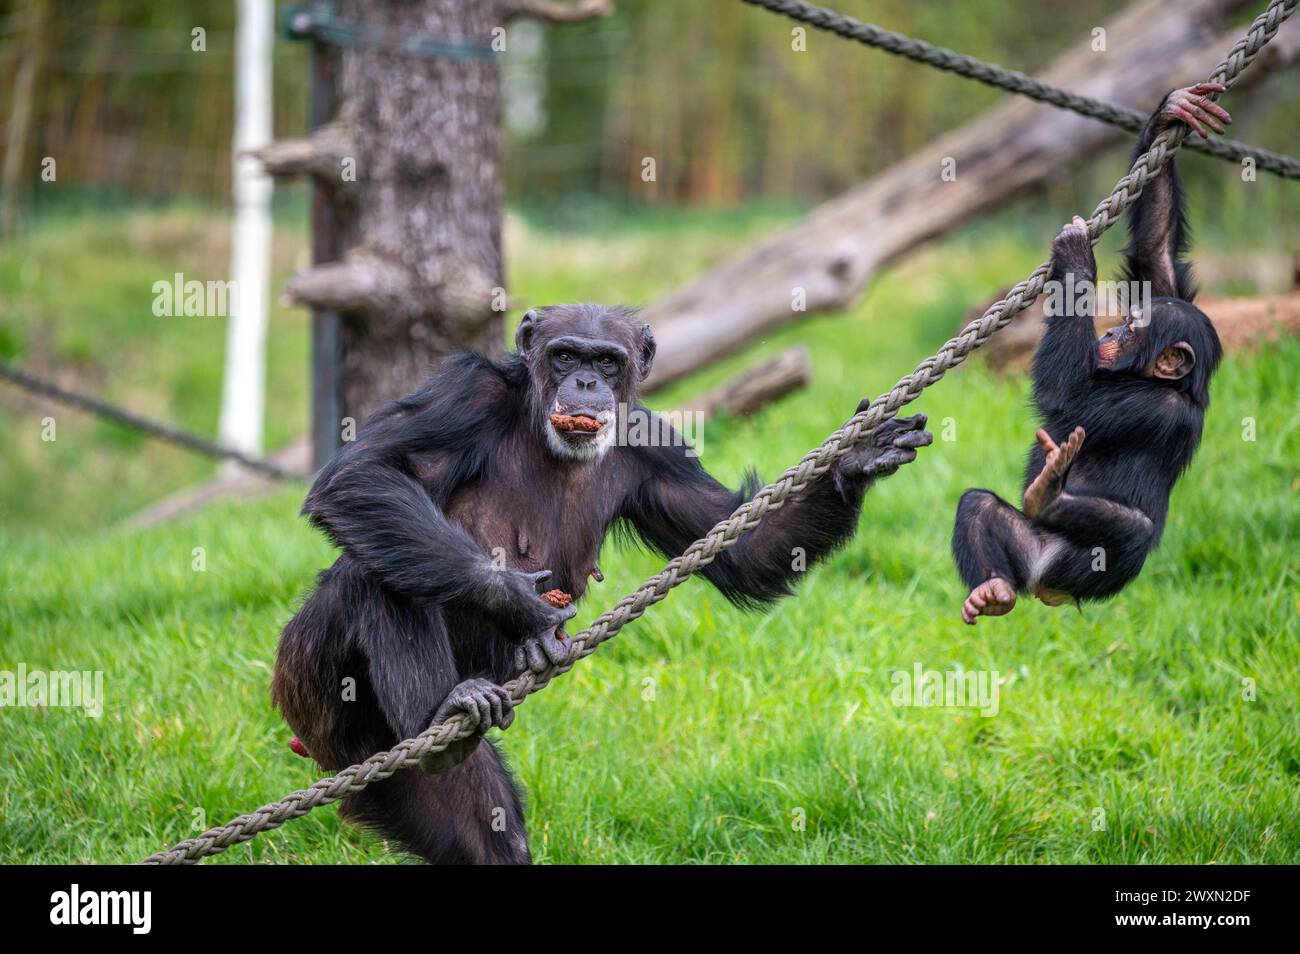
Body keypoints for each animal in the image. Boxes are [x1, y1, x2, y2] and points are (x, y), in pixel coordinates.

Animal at [272, 303, 932, 862]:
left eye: (607, 361)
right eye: (566, 356)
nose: (587, 383)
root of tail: (328, 753)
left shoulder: (655, 444)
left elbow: (743, 548)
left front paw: (856, 457)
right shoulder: (462, 392)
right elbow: (365, 471)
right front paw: (519, 604)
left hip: (393, 778)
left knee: (486, 833)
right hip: (310, 687)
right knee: (373, 564)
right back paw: (446, 712)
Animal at [950, 84, 1228, 625]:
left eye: (1129, 329)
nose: (1109, 333)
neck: (1154, 380)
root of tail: (1050, 586)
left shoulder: (1145, 405)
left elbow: (1065, 397)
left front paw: (1077, 258)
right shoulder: (1165, 286)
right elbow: (1155, 252)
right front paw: (1171, 112)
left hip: (1102, 568)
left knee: (1136, 528)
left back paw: (1049, 497)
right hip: (1029, 552)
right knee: (978, 506)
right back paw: (991, 590)